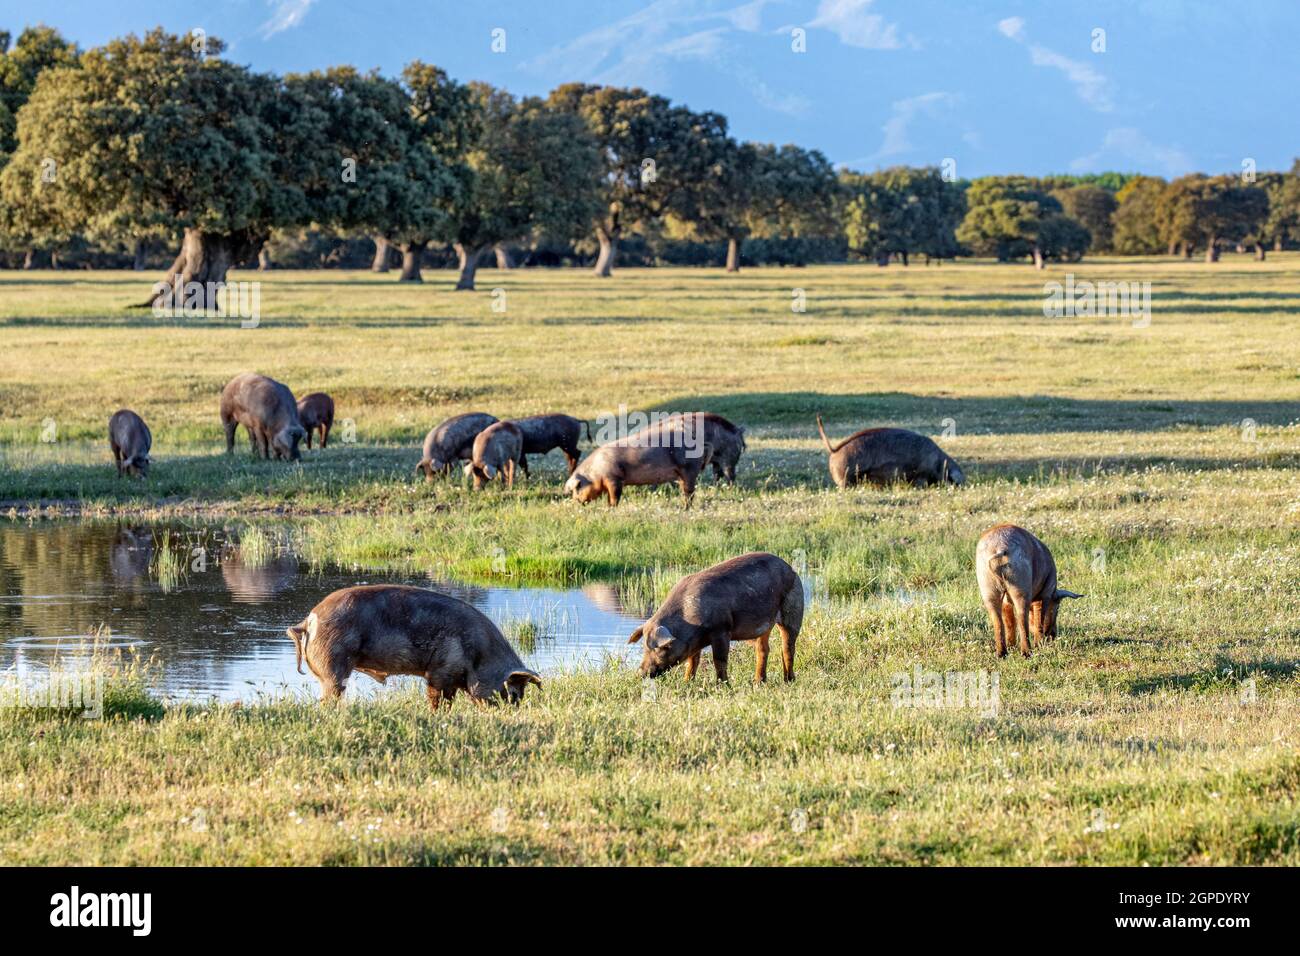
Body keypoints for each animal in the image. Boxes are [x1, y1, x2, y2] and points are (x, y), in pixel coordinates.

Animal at [286, 584, 541, 708]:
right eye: (513, 693)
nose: (512, 712)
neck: (481, 655)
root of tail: (309, 620)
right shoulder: (440, 671)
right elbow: (437, 698)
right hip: (333, 662)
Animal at [563, 424, 712, 508]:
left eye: (577, 488)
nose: (578, 502)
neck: (596, 472)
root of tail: (700, 442)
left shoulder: (614, 479)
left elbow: (614, 497)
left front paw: (612, 509)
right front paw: (608, 507)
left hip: (689, 469)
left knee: (689, 493)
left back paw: (686, 508)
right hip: (681, 474)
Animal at [628, 552, 803, 683]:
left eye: (661, 648)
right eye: (644, 647)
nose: (640, 673)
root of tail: (790, 568)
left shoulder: (721, 630)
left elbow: (719, 660)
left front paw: (723, 685)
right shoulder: (694, 642)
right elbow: (692, 662)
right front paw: (687, 683)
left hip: (793, 610)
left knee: (787, 647)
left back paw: (789, 680)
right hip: (764, 625)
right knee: (763, 649)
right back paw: (758, 682)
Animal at [975, 524, 1084, 658]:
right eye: (1057, 607)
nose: (1053, 635)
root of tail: (999, 547)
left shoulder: (1006, 600)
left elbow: (1009, 620)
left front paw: (1011, 646)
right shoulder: (1045, 594)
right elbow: (1039, 618)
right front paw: (1039, 644)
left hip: (989, 592)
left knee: (998, 621)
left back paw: (1002, 654)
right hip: (1021, 590)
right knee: (1022, 618)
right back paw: (1027, 653)